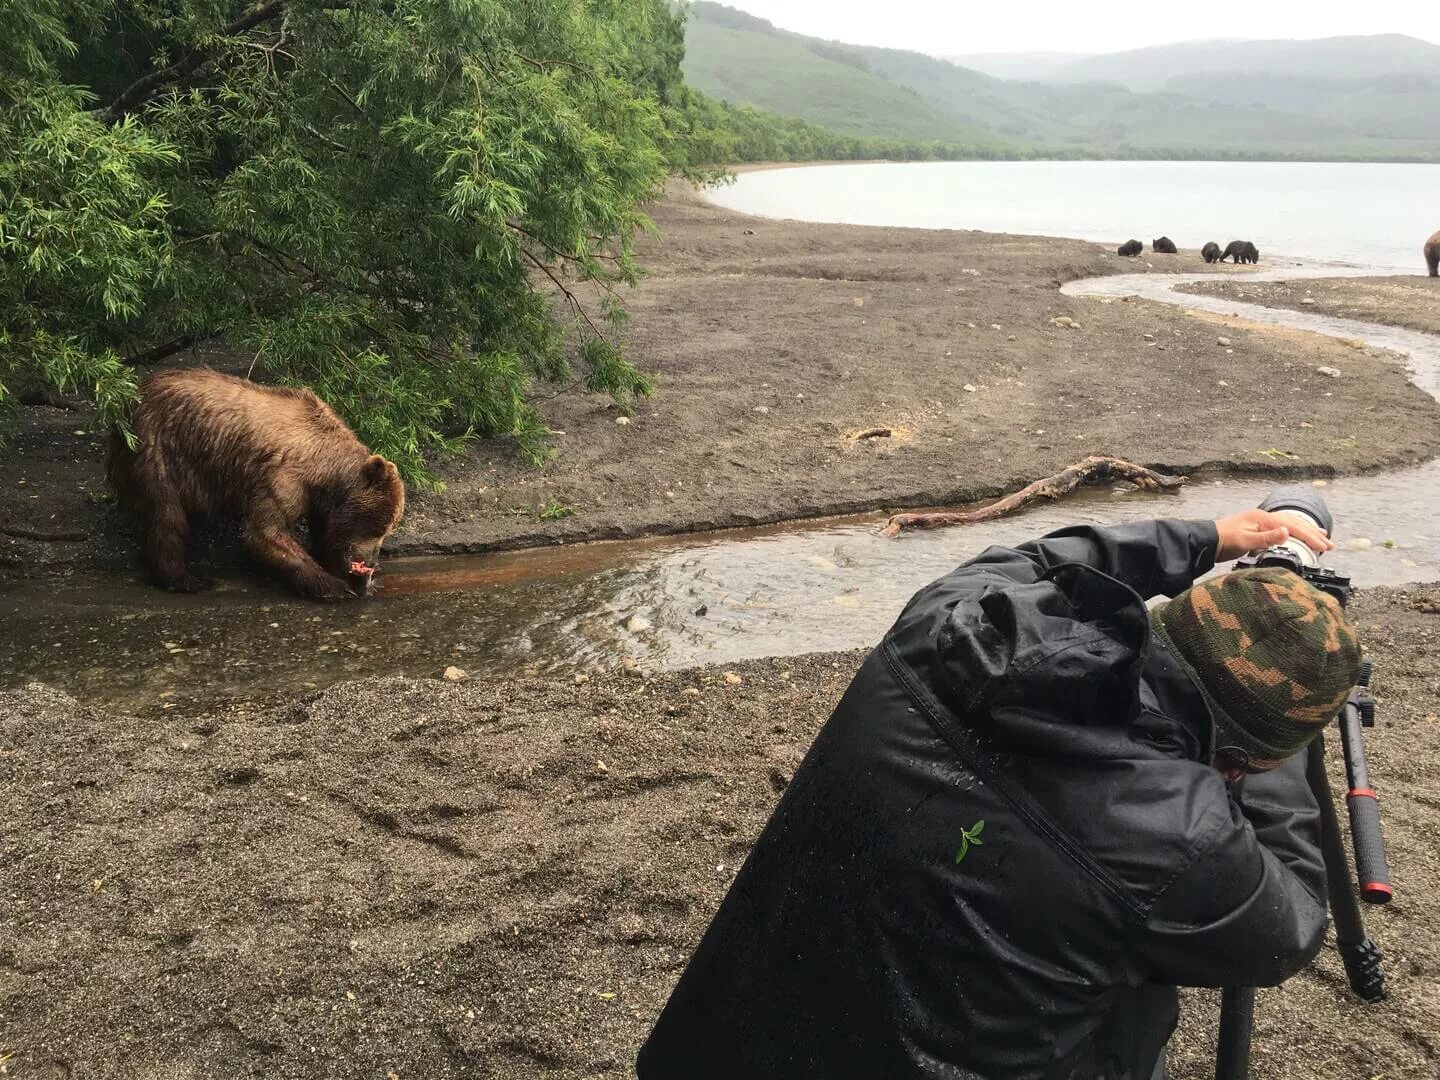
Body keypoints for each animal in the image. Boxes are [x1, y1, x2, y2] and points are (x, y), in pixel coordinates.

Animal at [106, 371, 406, 601]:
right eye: (378, 526)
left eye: (387, 529)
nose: (372, 563)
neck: (322, 470)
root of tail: (130, 399)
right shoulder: (282, 480)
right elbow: (266, 531)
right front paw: (334, 586)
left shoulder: (321, 503)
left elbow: (327, 536)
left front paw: (355, 581)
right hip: (156, 450)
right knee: (165, 516)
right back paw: (185, 579)